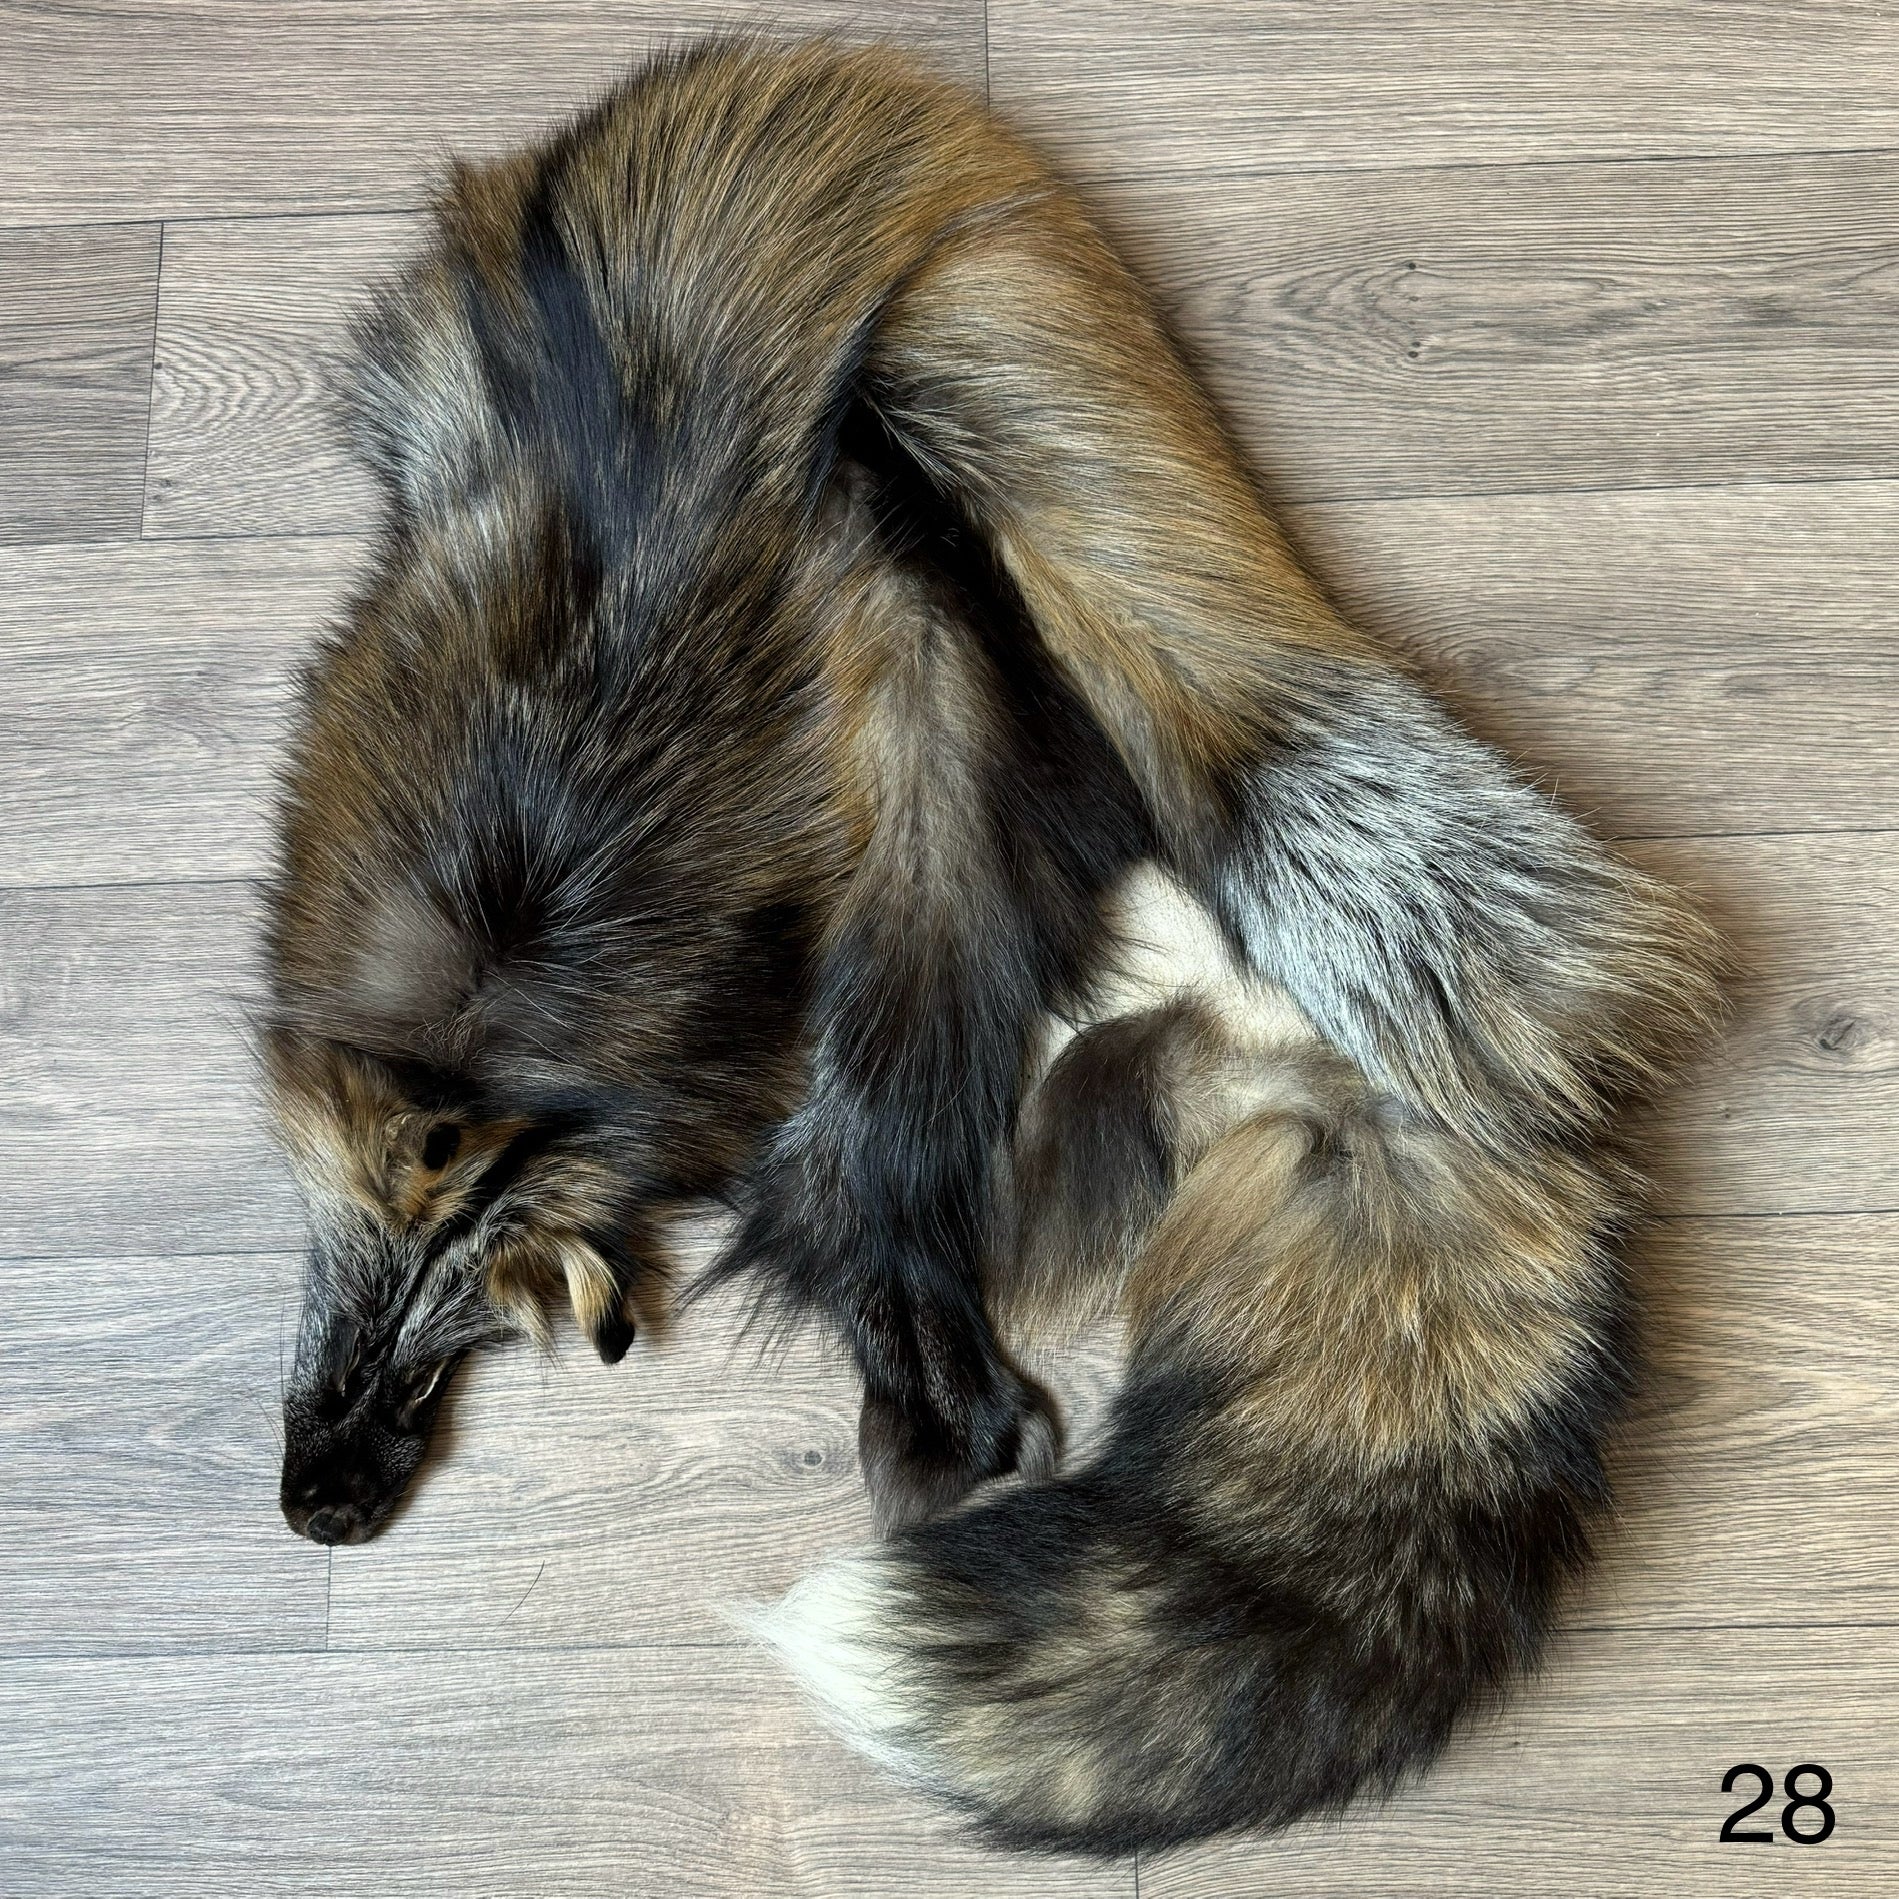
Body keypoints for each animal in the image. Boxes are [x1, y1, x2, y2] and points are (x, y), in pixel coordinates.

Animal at [263, 36, 1719, 1855]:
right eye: (363, 1284)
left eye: (451, 1329)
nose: (315, 1504)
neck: (523, 951)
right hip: (949, 587)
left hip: (937, 599)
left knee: (904, 1258)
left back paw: (934, 1417)